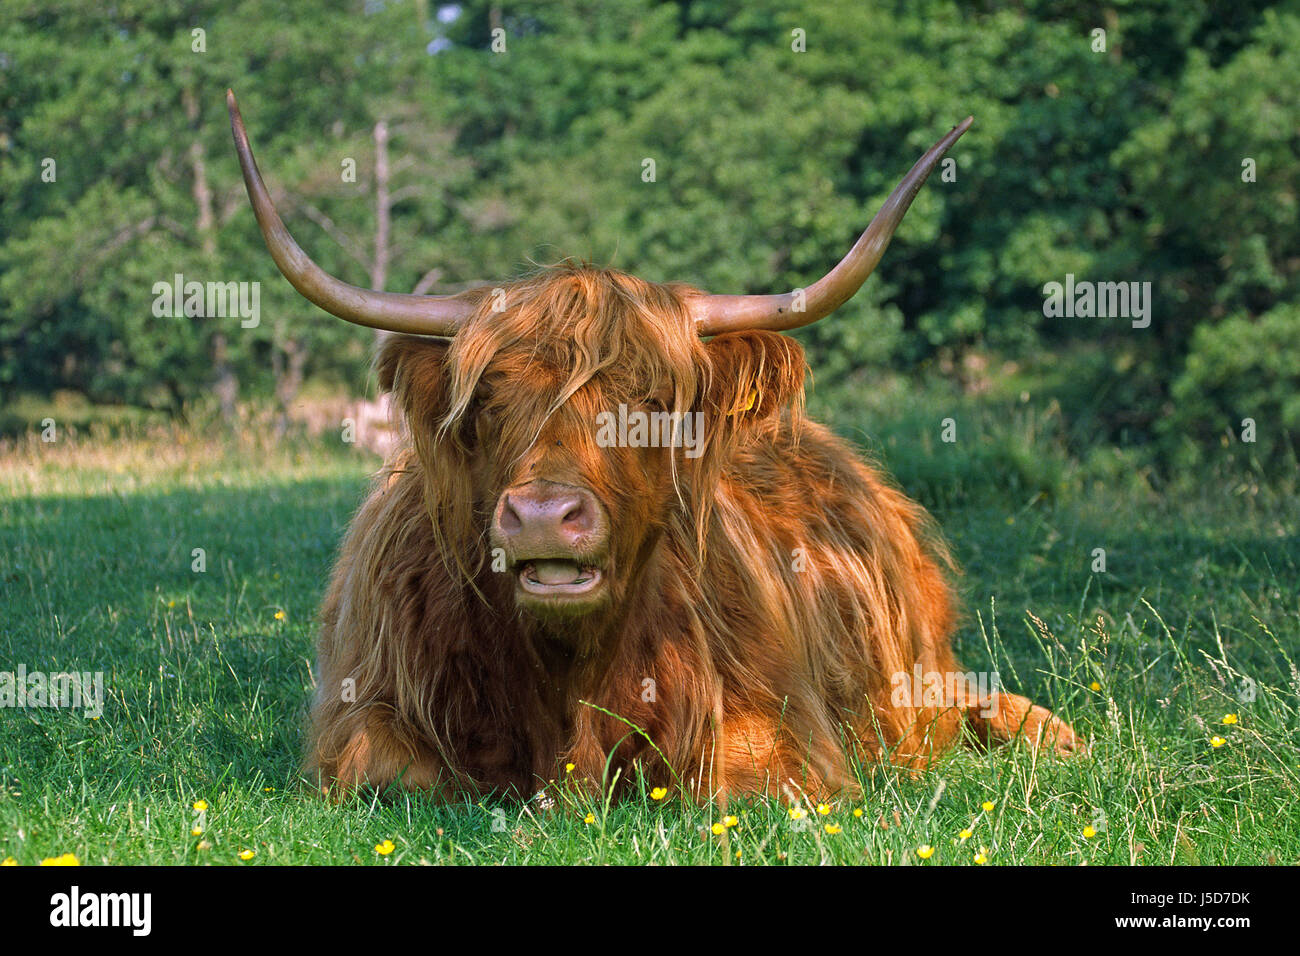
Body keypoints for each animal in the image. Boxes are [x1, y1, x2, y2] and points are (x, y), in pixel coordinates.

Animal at [227, 90, 1080, 802]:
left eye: (651, 403)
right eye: (492, 398)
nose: (544, 516)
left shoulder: (777, 724)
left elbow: (731, 781)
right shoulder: (365, 710)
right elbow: (392, 774)